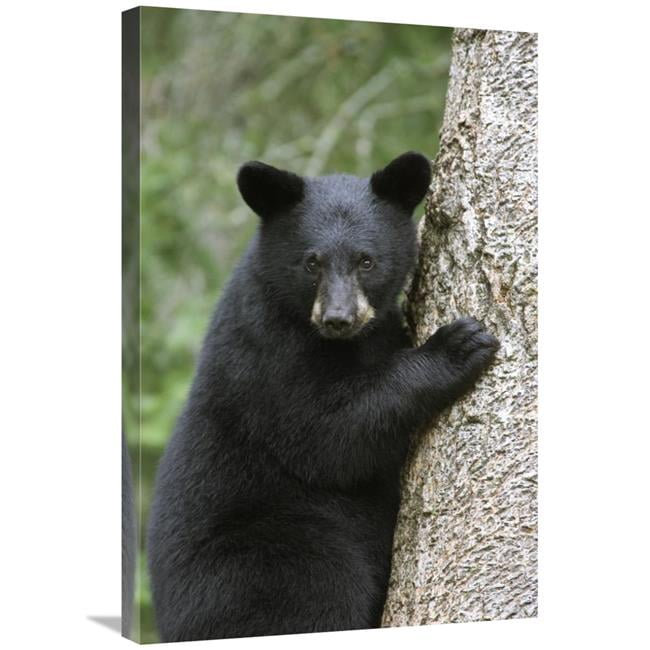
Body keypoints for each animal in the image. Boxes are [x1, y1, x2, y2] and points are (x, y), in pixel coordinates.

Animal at [147, 151, 499, 642]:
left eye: (366, 260)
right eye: (311, 262)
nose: (337, 318)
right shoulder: (267, 354)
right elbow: (327, 435)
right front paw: (458, 345)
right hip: (271, 555)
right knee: (319, 591)